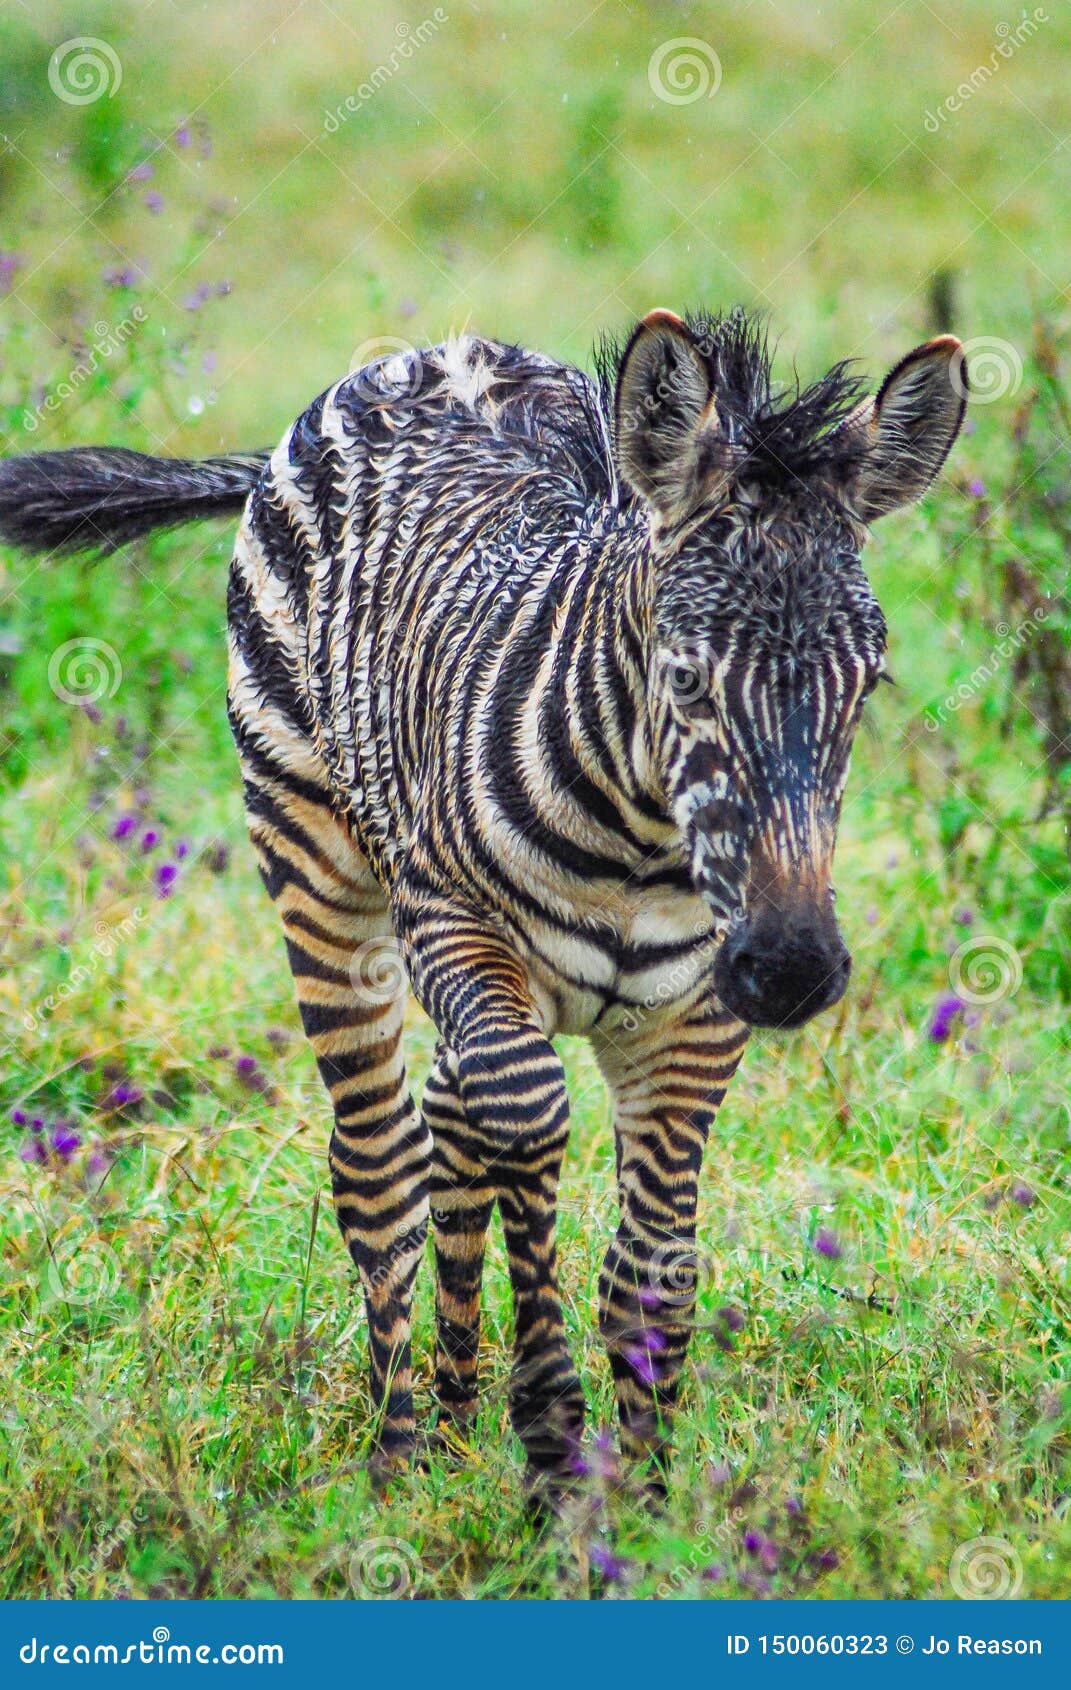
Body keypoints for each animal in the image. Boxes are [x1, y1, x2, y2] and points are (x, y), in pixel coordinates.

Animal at [0, 308, 968, 1495]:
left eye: (867, 686)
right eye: (684, 677)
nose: (789, 970)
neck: (645, 848)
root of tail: (426, 351)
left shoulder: (696, 1015)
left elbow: (652, 1267)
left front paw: (638, 1499)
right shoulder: (458, 930)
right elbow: (526, 1120)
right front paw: (550, 1435)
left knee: (449, 1118)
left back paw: (455, 1427)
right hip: (320, 862)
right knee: (382, 1161)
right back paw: (399, 1453)